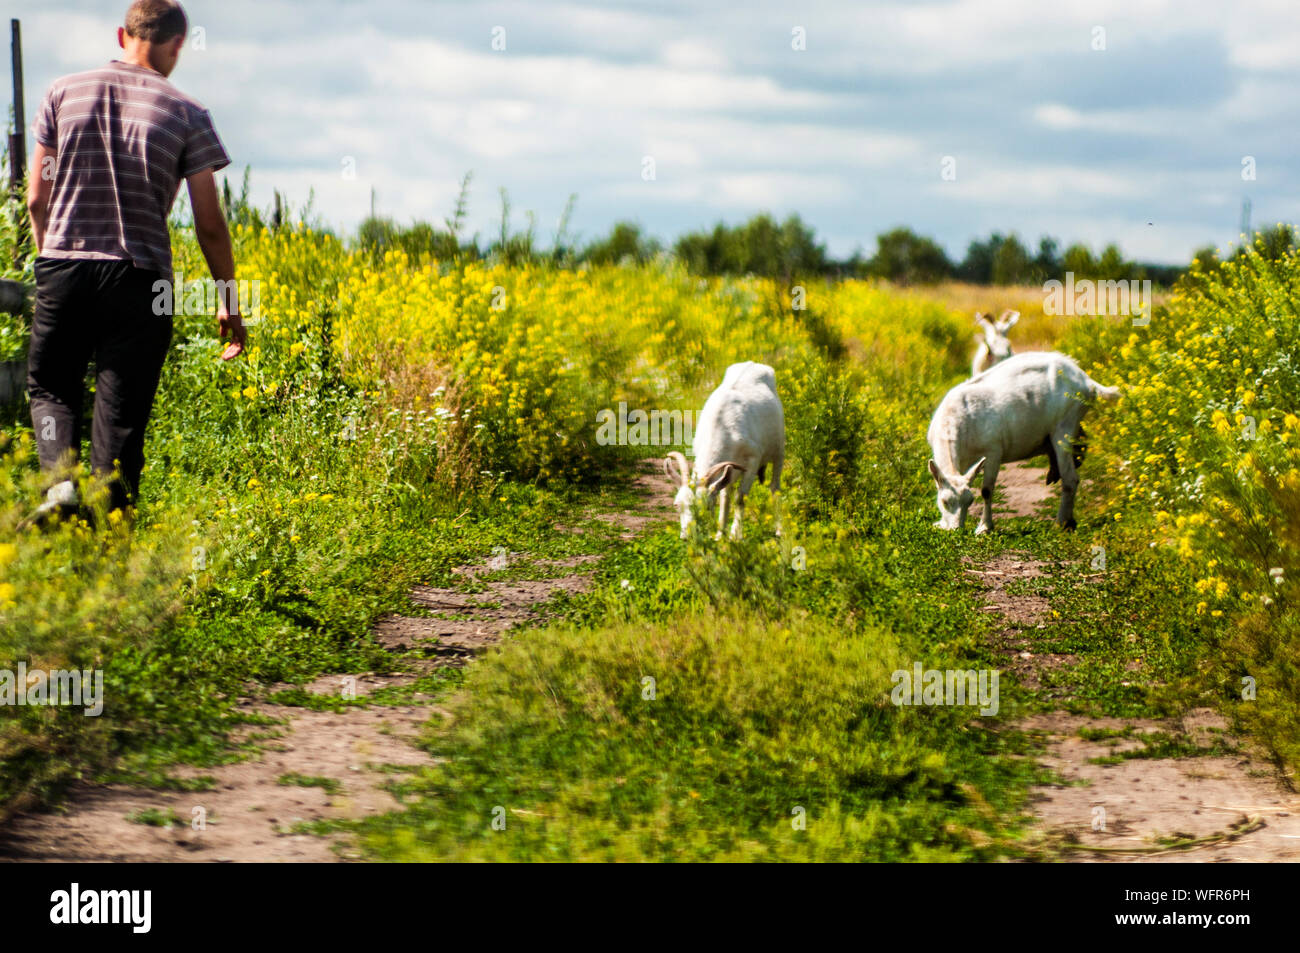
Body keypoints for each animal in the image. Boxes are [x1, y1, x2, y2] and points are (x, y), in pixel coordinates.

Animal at [665, 361, 785, 540]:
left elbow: (740, 498)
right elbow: (724, 496)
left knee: (774, 487)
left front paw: (736, 535)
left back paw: (780, 529)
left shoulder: (753, 459)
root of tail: (754, 363)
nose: (687, 537)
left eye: (706, 507)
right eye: (677, 505)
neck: (723, 426)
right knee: (726, 491)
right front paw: (720, 535)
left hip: (779, 450)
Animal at [927, 351, 1119, 533]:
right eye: (944, 502)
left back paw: (1062, 523)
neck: (957, 418)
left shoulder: (993, 452)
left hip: (1065, 424)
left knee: (1070, 478)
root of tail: (1087, 381)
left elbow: (987, 490)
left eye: (970, 501)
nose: (955, 529)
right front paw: (941, 523)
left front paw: (984, 527)